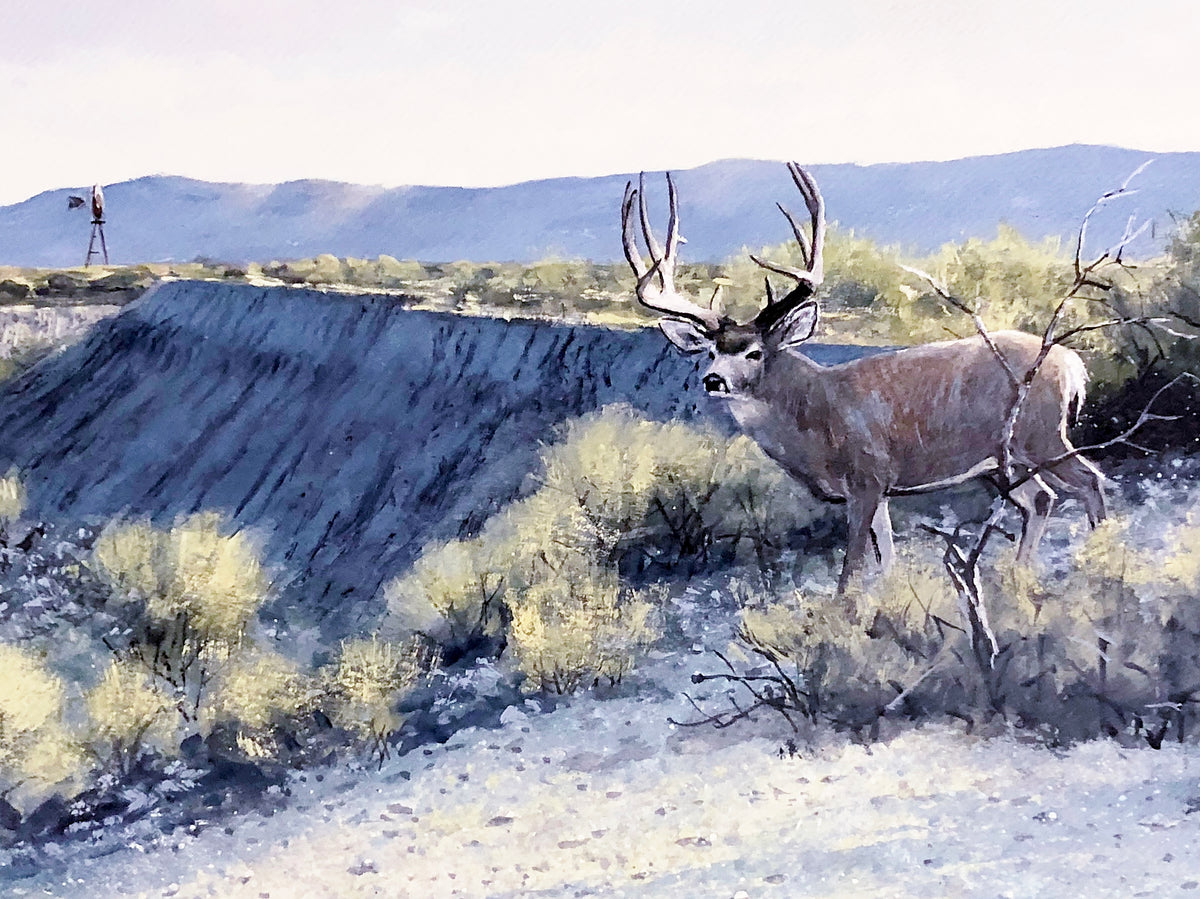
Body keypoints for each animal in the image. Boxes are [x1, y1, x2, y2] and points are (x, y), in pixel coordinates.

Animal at [621, 163, 1107, 596]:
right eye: (711, 351)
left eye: (754, 352)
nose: (713, 381)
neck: (816, 413)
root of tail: (1072, 363)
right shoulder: (882, 490)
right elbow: (886, 560)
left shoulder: (867, 476)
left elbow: (851, 571)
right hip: (1002, 462)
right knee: (1042, 498)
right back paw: (1020, 577)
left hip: (1041, 434)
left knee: (1089, 481)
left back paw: (1102, 564)